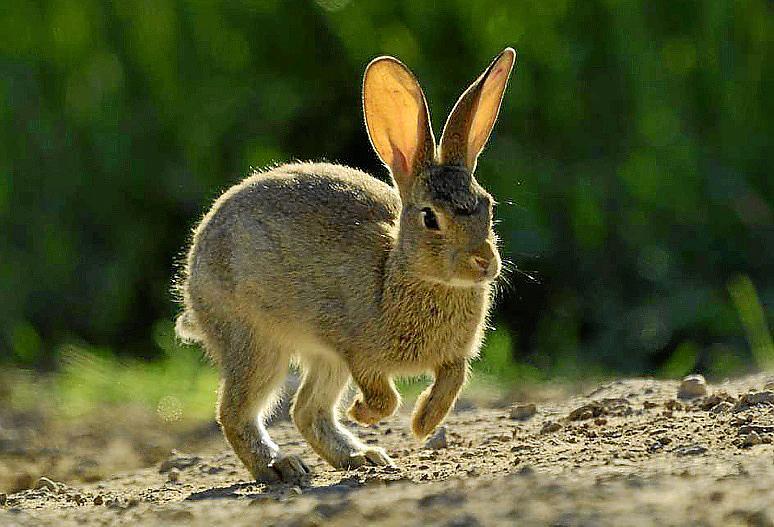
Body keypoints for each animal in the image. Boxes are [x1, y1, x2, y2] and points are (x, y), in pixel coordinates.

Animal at [175, 48, 516, 482]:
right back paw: (280, 467)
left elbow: (452, 383)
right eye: (430, 218)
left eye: (488, 205)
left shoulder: (451, 358)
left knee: (306, 411)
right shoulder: (354, 349)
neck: (401, 269)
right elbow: (385, 397)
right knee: (236, 412)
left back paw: (362, 457)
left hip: (321, 359)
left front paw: (422, 423)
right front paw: (364, 411)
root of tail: (193, 279)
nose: (484, 263)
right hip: (257, 342)